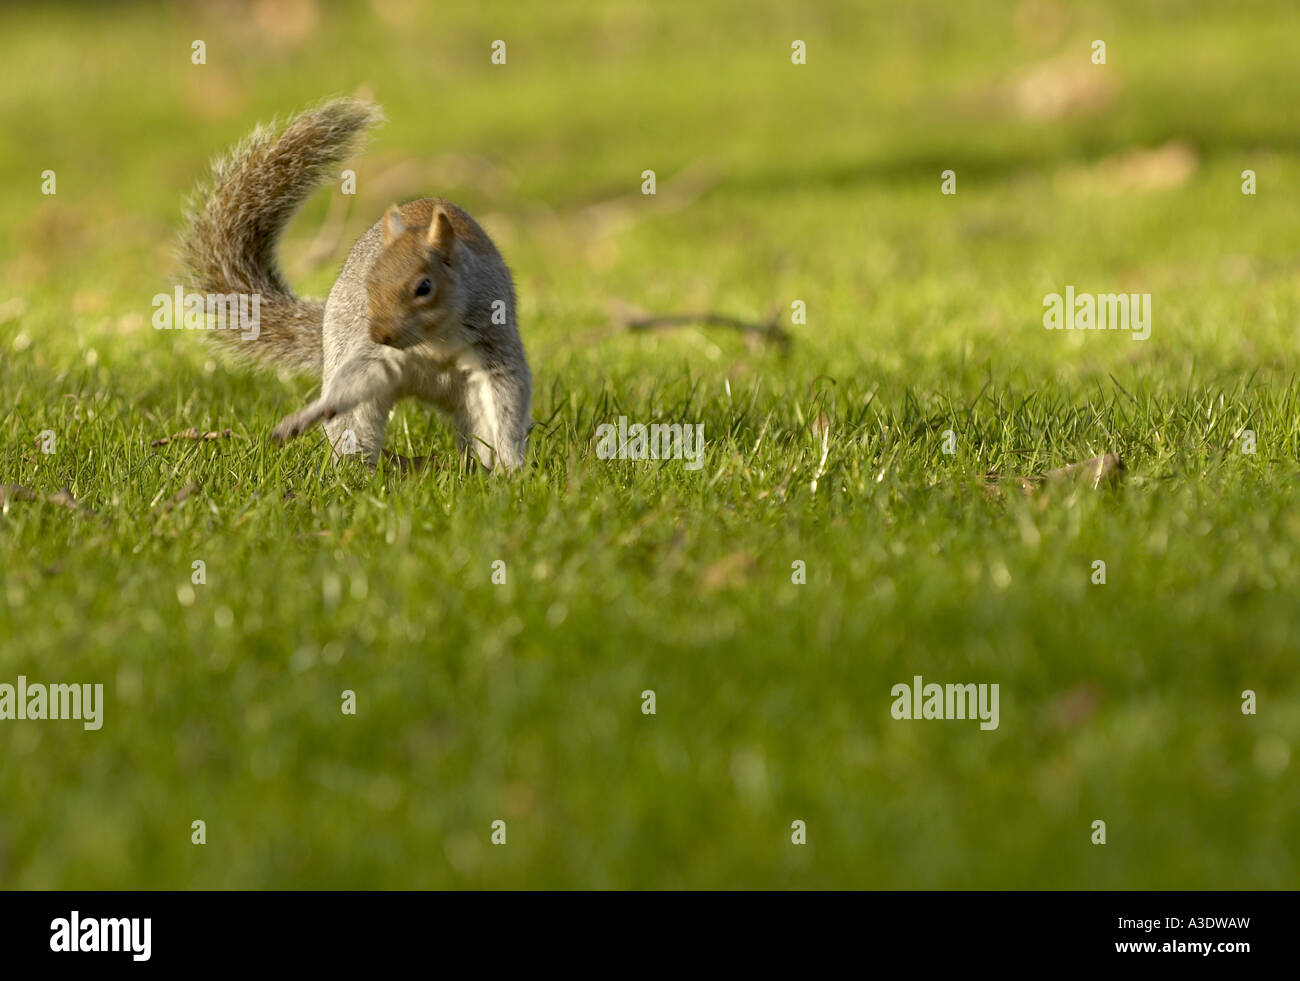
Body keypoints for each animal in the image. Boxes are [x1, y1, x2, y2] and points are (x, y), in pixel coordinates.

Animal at [178, 97, 532, 471]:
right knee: (354, 420)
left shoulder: (492, 343)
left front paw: (511, 465)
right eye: (369, 282)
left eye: (424, 287)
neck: (432, 341)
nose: (379, 334)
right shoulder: (379, 358)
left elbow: (508, 398)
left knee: (480, 429)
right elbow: (356, 380)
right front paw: (304, 417)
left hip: (469, 400)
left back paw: (482, 466)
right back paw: (356, 471)